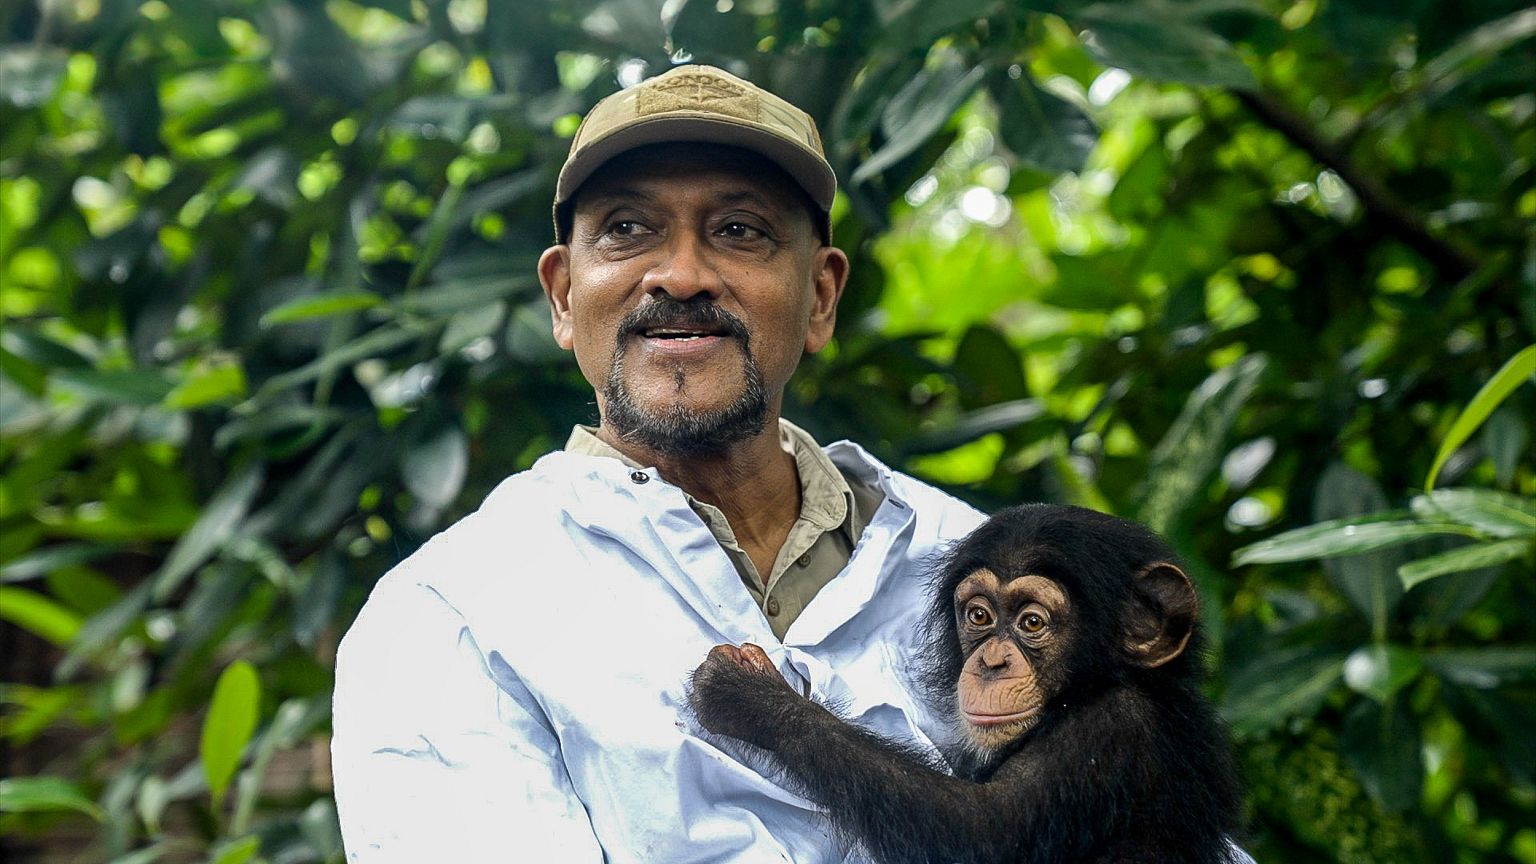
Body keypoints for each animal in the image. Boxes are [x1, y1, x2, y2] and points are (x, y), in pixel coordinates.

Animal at [689, 503, 1243, 864]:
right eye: (979, 615)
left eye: (1032, 622)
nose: (991, 661)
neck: (1092, 687)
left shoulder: (1113, 730)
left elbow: (984, 829)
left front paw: (755, 700)